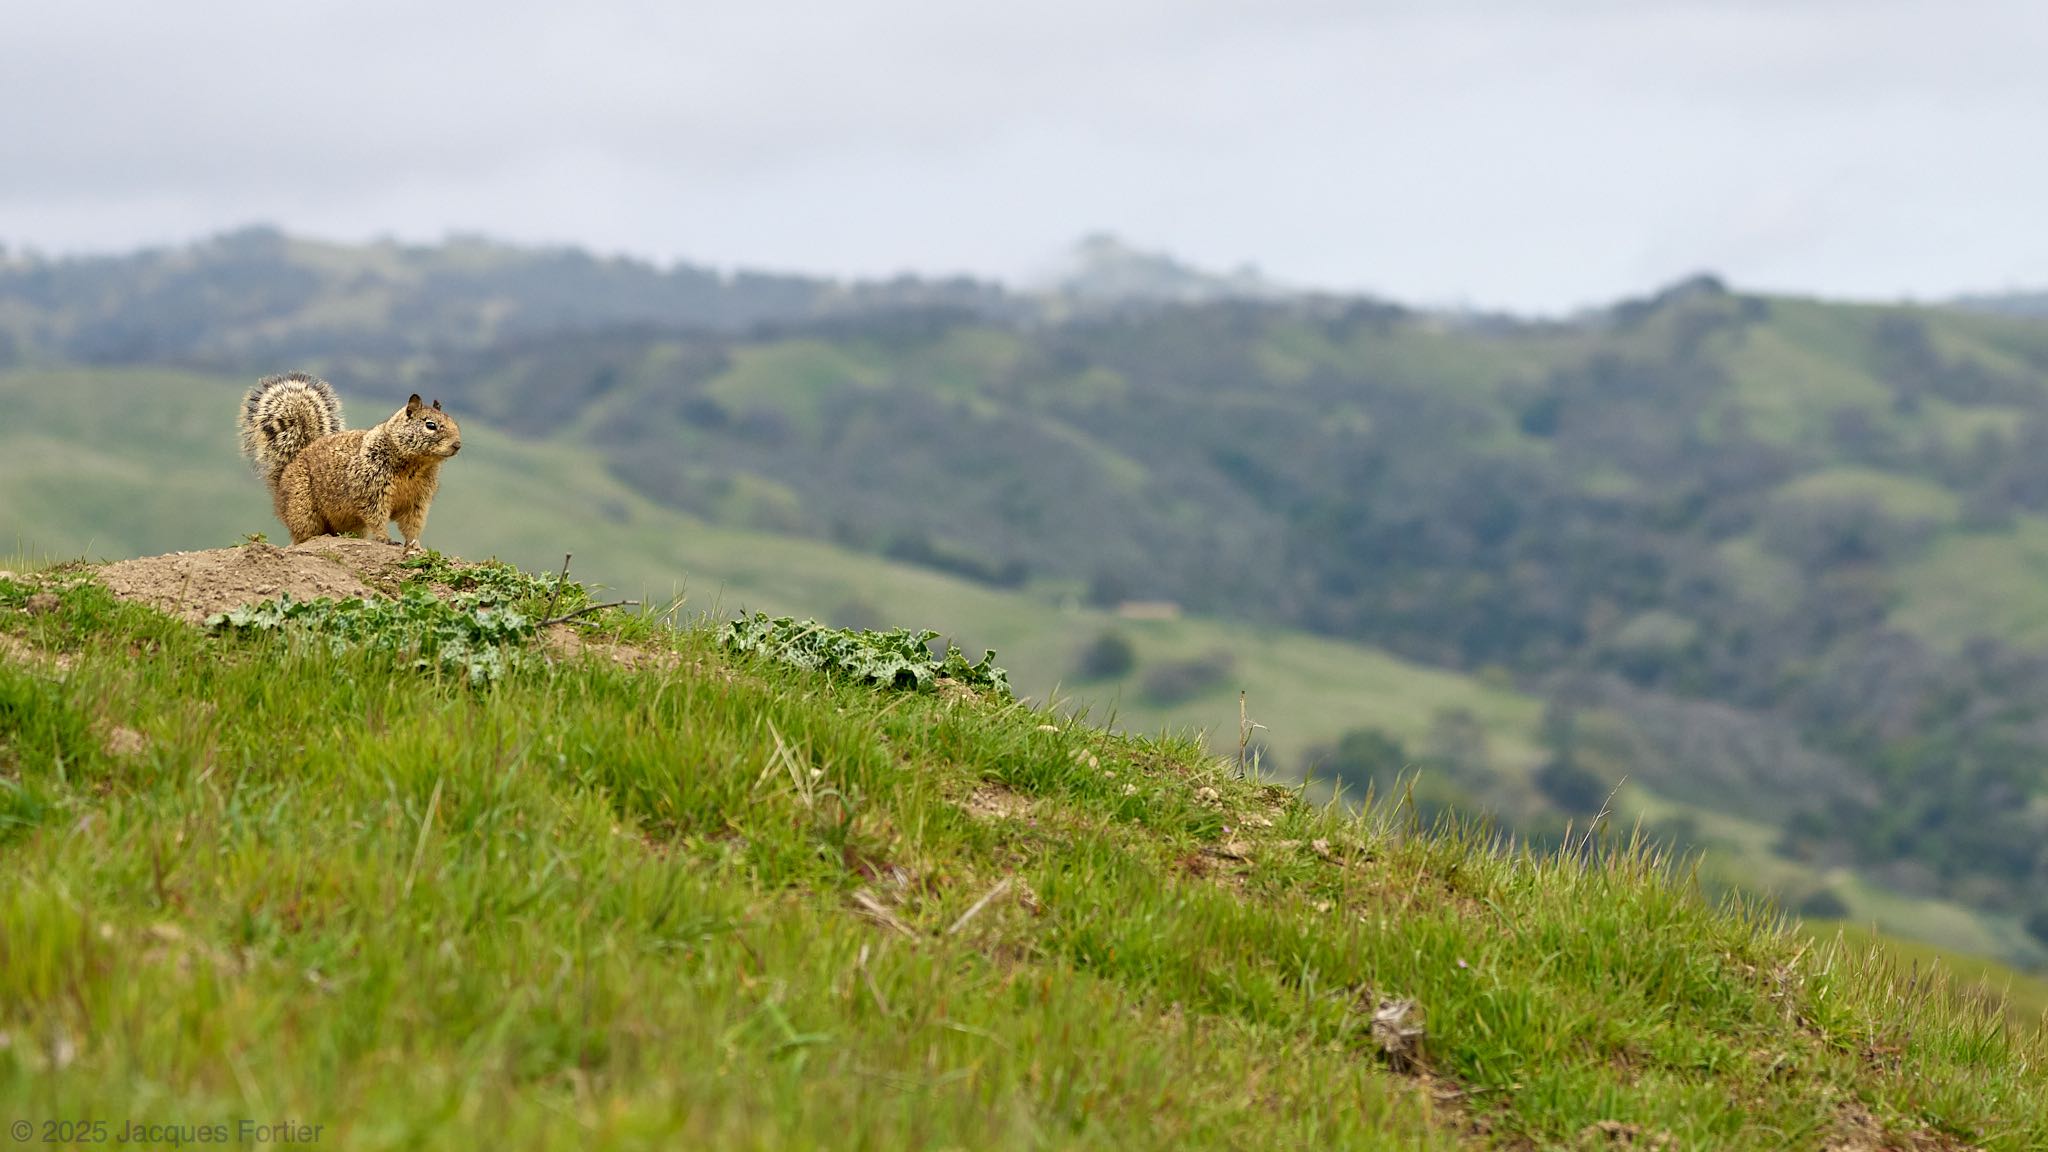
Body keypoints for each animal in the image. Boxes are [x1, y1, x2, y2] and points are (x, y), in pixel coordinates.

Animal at [238, 372, 463, 549]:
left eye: (453, 420)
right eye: (430, 425)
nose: (458, 444)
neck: (415, 465)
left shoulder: (418, 501)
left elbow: (412, 525)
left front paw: (415, 545)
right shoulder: (372, 488)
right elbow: (377, 516)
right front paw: (385, 539)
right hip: (303, 510)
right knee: (302, 535)